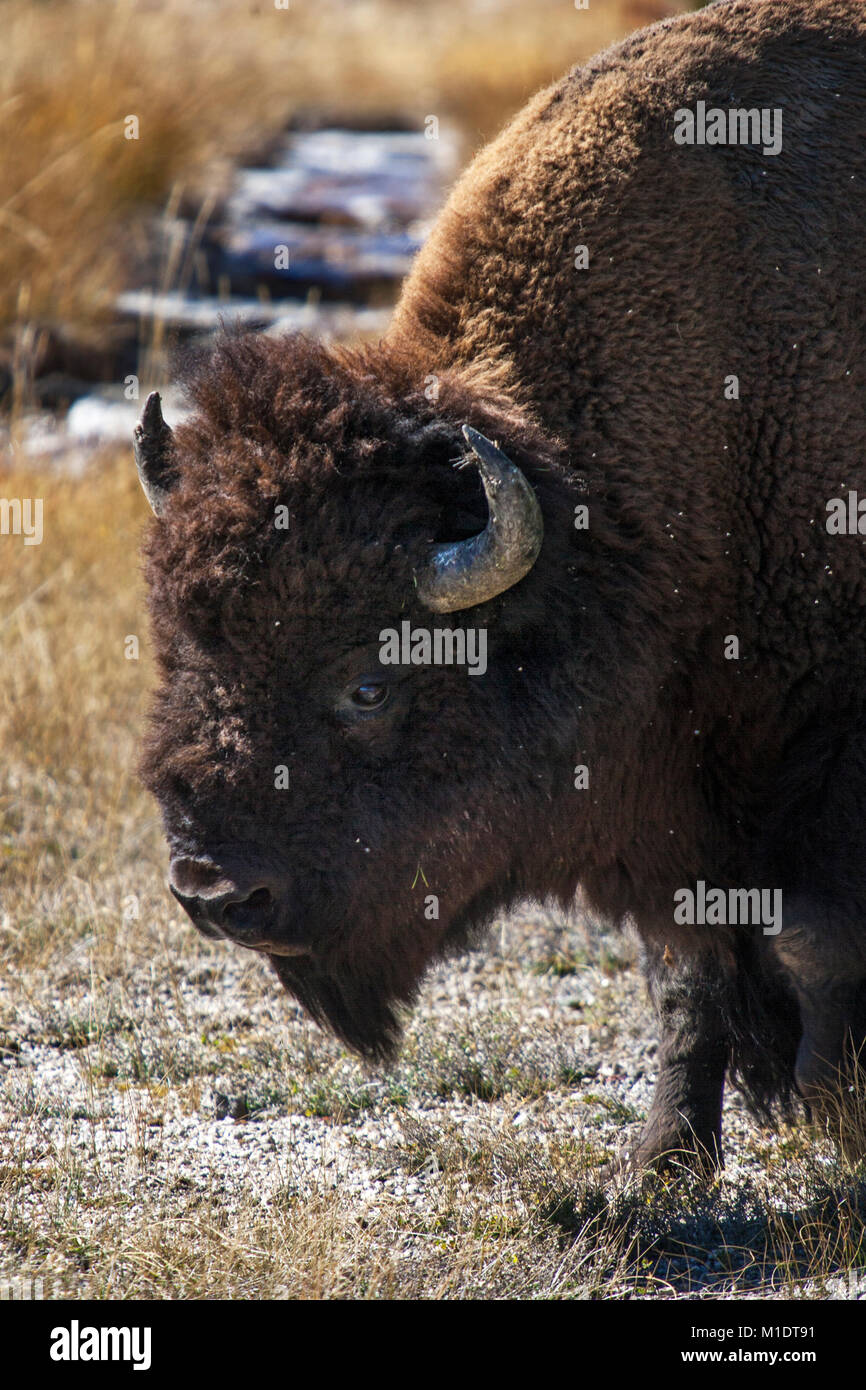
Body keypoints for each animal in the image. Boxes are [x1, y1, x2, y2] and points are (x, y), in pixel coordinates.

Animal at [135, 0, 866, 1169]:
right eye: (181, 653)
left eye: (371, 683)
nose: (213, 891)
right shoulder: (661, 801)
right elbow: (687, 978)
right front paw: (658, 1169)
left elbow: (823, 955)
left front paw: (832, 1121)